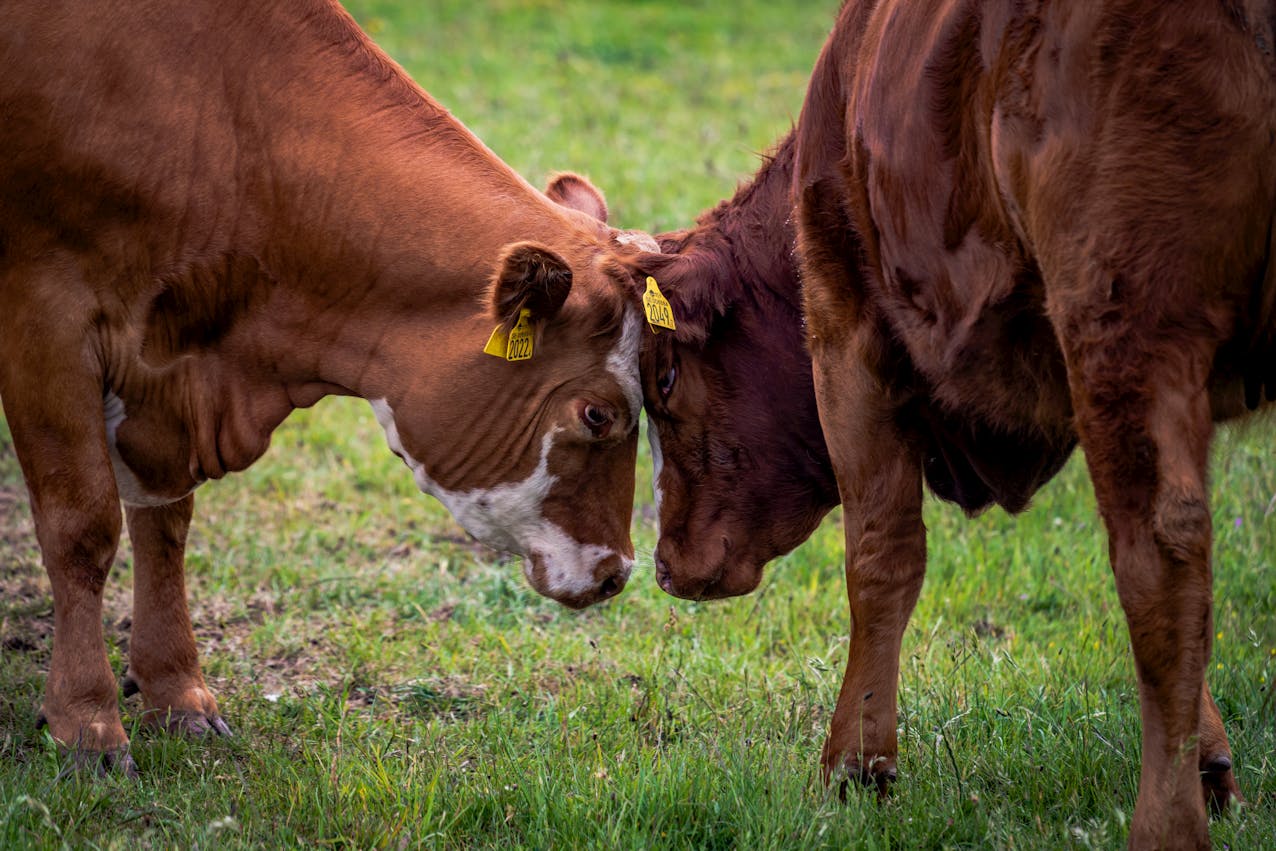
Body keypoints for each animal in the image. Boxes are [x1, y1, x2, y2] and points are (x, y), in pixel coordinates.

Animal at [0, 0, 653, 776]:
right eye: (597, 414)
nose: (618, 571)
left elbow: (164, 524)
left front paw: (175, 693)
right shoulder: (43, 314)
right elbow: (81, 527)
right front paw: (86, 722)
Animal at [632, 1, 1276, 847]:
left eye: (666, 379)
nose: (667, 565)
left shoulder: (845, 327)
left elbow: (880, 557)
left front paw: (856, 765)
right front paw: (1211, 763)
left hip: (1122, 314)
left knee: (1158, 555)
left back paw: (1163, 824)